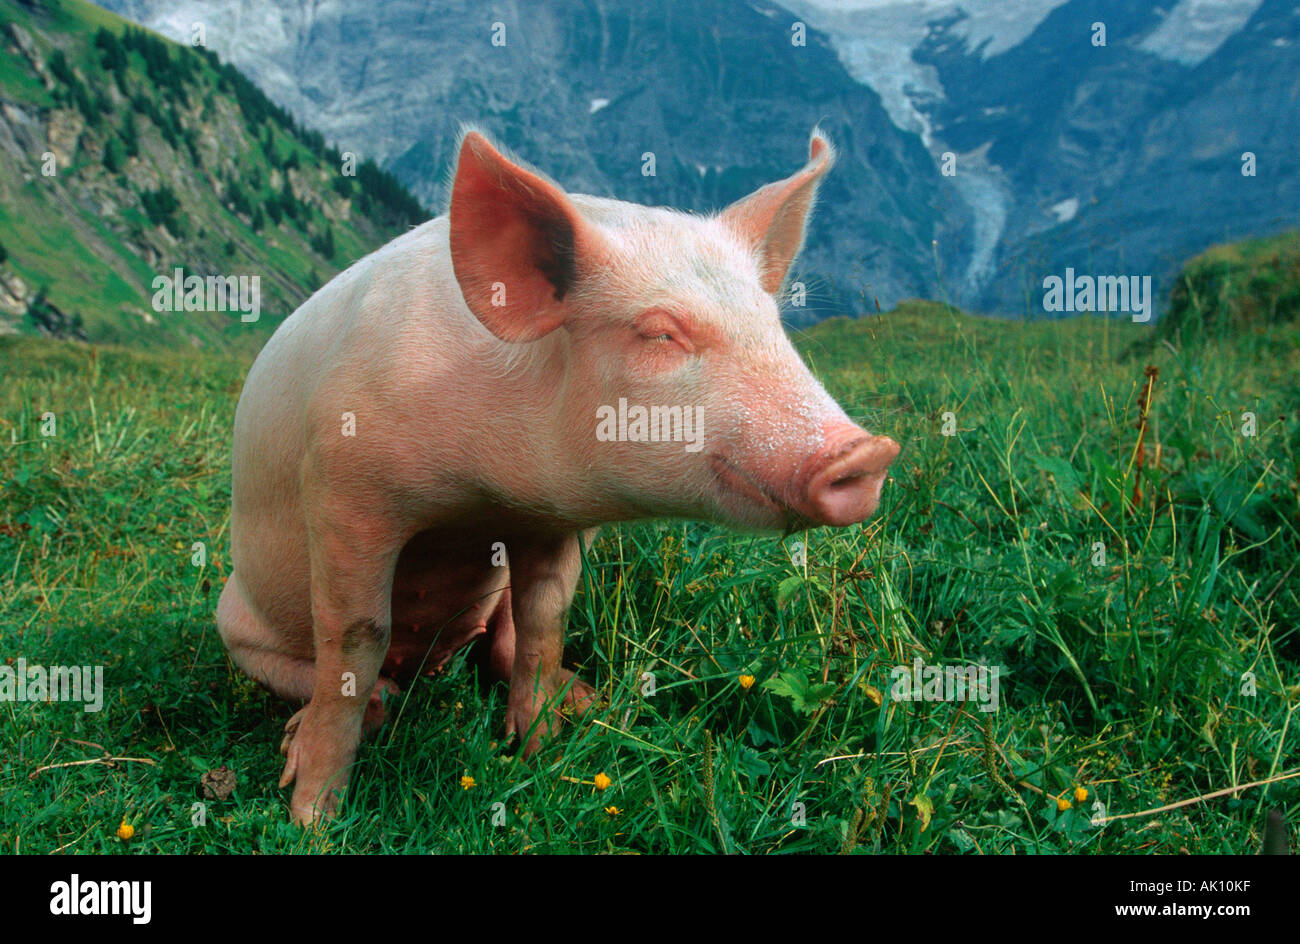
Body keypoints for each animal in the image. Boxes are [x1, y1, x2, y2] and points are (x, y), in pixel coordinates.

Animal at [217, 128, 900, 824]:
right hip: (234, 621)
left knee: (502, 640)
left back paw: (586, 699)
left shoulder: (556, 520)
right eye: (659, 333)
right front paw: (313, 816)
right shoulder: (342, 484)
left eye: (774, 325)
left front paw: (538, 751)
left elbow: (546, 619)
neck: (486, 493)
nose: (866, 454)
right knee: (357, 677)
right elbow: (355, 640)